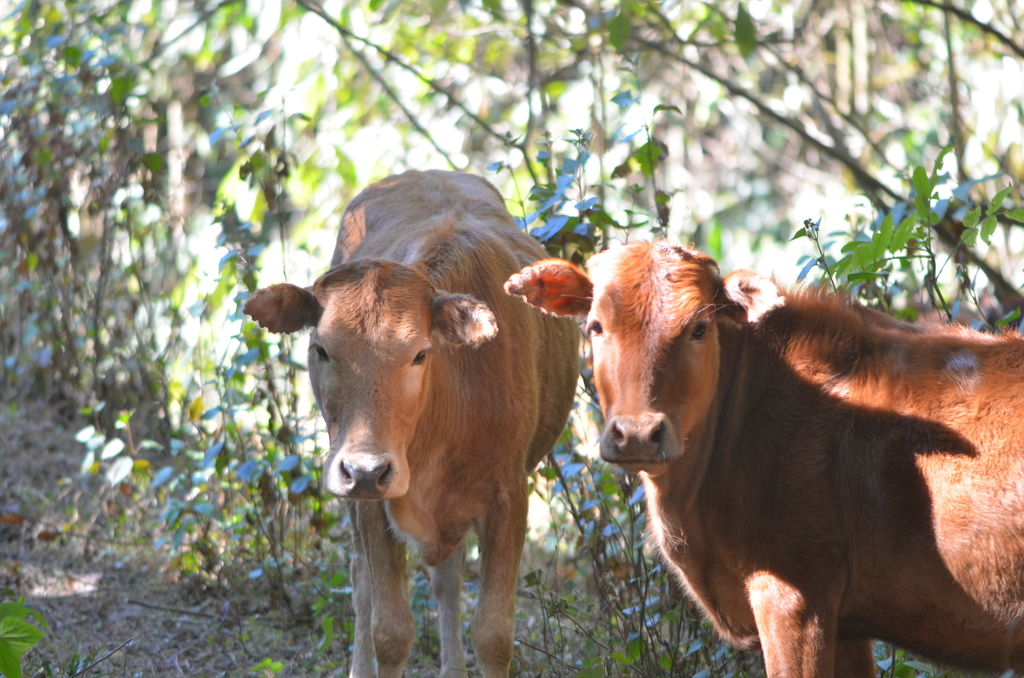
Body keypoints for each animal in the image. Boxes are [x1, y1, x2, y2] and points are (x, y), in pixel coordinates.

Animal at [244, 170, 579, 678]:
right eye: (321, 348)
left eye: (420, 353)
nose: (366, 470)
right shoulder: (369, 503)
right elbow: (391, 630)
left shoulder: (509, 496)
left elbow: (493, 634)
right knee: (363, 585)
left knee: (447, 579)